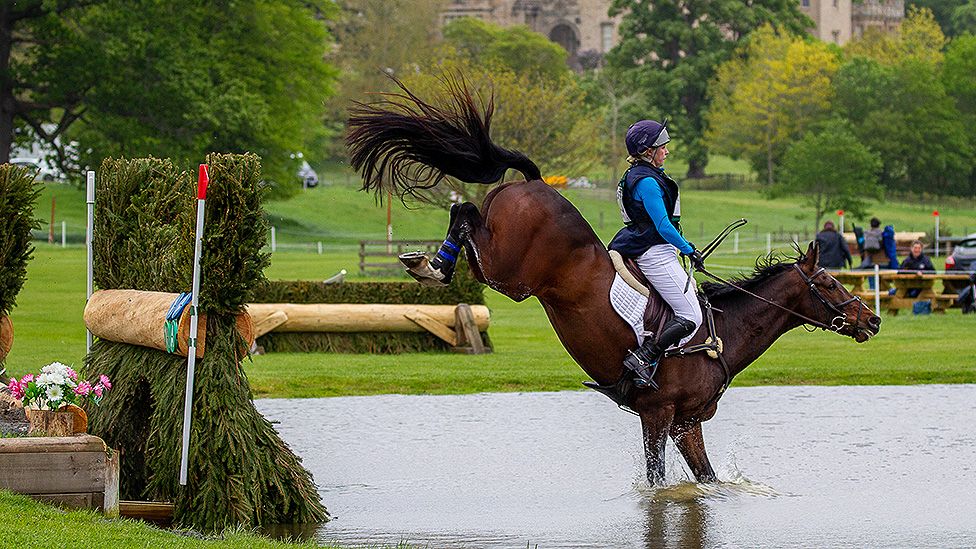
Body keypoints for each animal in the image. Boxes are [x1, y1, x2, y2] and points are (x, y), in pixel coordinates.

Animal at [346, 79, 881, 484]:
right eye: (830, 285)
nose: (872, 321)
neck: (721, 335)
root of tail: (537, 183)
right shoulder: (658, 414)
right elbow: (657, 482)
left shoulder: (687, 423)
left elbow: (706, 481)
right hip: (511, 274)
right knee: (466, 214)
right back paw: (432, 265)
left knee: (466, 213)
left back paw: (427, 263)